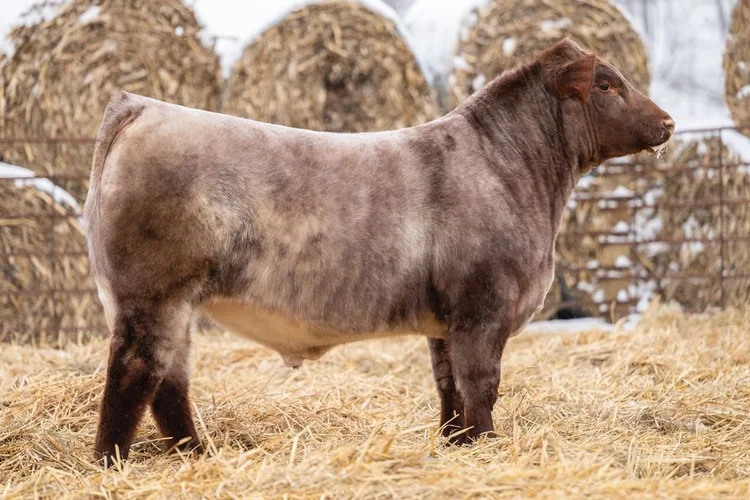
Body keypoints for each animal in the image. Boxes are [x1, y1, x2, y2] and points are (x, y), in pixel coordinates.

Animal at [84, 38, 674, 464]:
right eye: (606, 84)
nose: (667, 121)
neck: (512, 169)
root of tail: (141, 107)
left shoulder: (447, 321)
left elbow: (450, 389)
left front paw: (458, 445)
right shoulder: (483, 307)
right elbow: (481, 385)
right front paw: (488, 447)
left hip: (173, 304)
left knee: (169, 383)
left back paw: (196, 456)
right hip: (153, 296)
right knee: (134, 373)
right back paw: (112, 462)